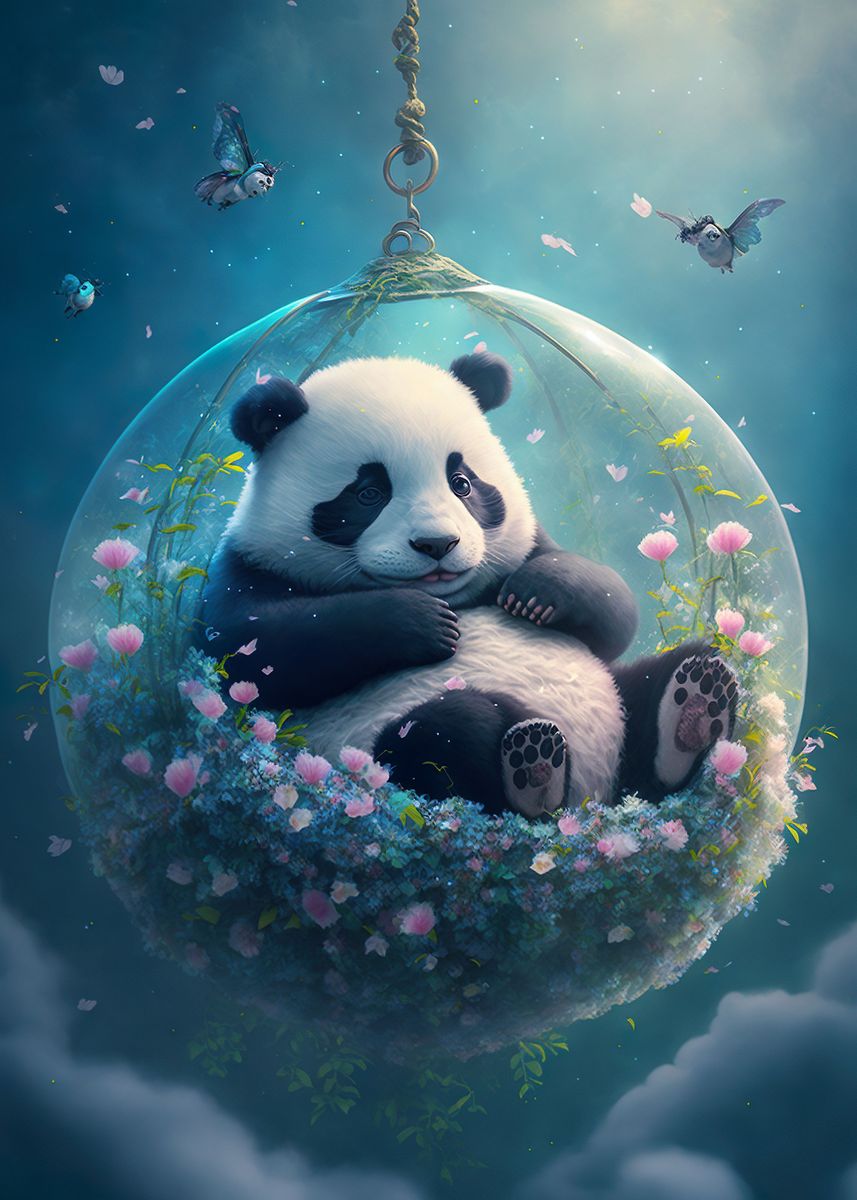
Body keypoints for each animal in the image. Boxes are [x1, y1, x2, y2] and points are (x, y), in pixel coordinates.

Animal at [199, 353, 736, 818]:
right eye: (368, 494)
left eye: (462, 483)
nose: (438, 544)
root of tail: (591, 800)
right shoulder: (248, 564)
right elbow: (254, 645)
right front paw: (423, 624)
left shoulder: (526, 548)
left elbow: (614, 611)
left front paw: (537, 593)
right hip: (370, 749)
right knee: (446, 735)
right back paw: (534, 771)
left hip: (618, 711)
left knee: (656, 690)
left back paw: (691, 708)